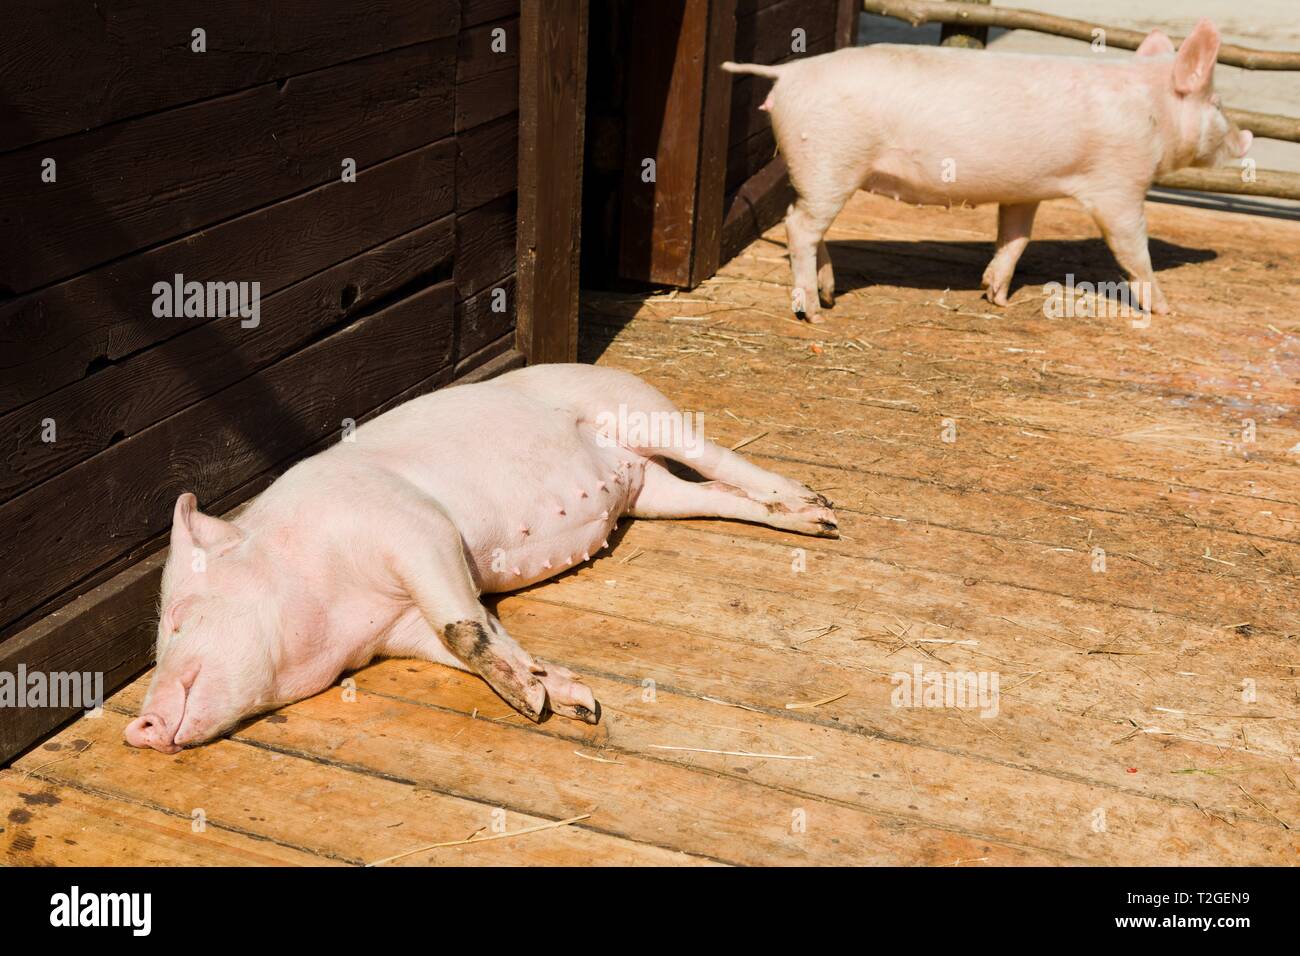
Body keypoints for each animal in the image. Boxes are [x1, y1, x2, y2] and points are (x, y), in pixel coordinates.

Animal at [124, 364, 838, 753]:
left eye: (181, 616)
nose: (137, 726)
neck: (349, 614)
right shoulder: (403, 628)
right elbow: (473, 635)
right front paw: (566, 701)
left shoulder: (412, 527)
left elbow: (461, 626)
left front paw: (533, 704)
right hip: (652, 496)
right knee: (709, 494)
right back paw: (810, 519)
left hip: (636, 407)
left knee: (714, 455)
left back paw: (823, 511)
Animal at [722, 18, 1253, 320]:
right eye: (1218, 104)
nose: (1247, 137)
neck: (1151, 112)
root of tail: (787, 72)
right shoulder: (1119, 185)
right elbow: (1131, 247)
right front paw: (1166, 308)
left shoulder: (1026, 189)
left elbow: (1016, 235)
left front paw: (995, 296)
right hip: (830, 159)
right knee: (799, 227)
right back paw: (813, 313)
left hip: (820, 170)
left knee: (805, 223)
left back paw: (830, 295)